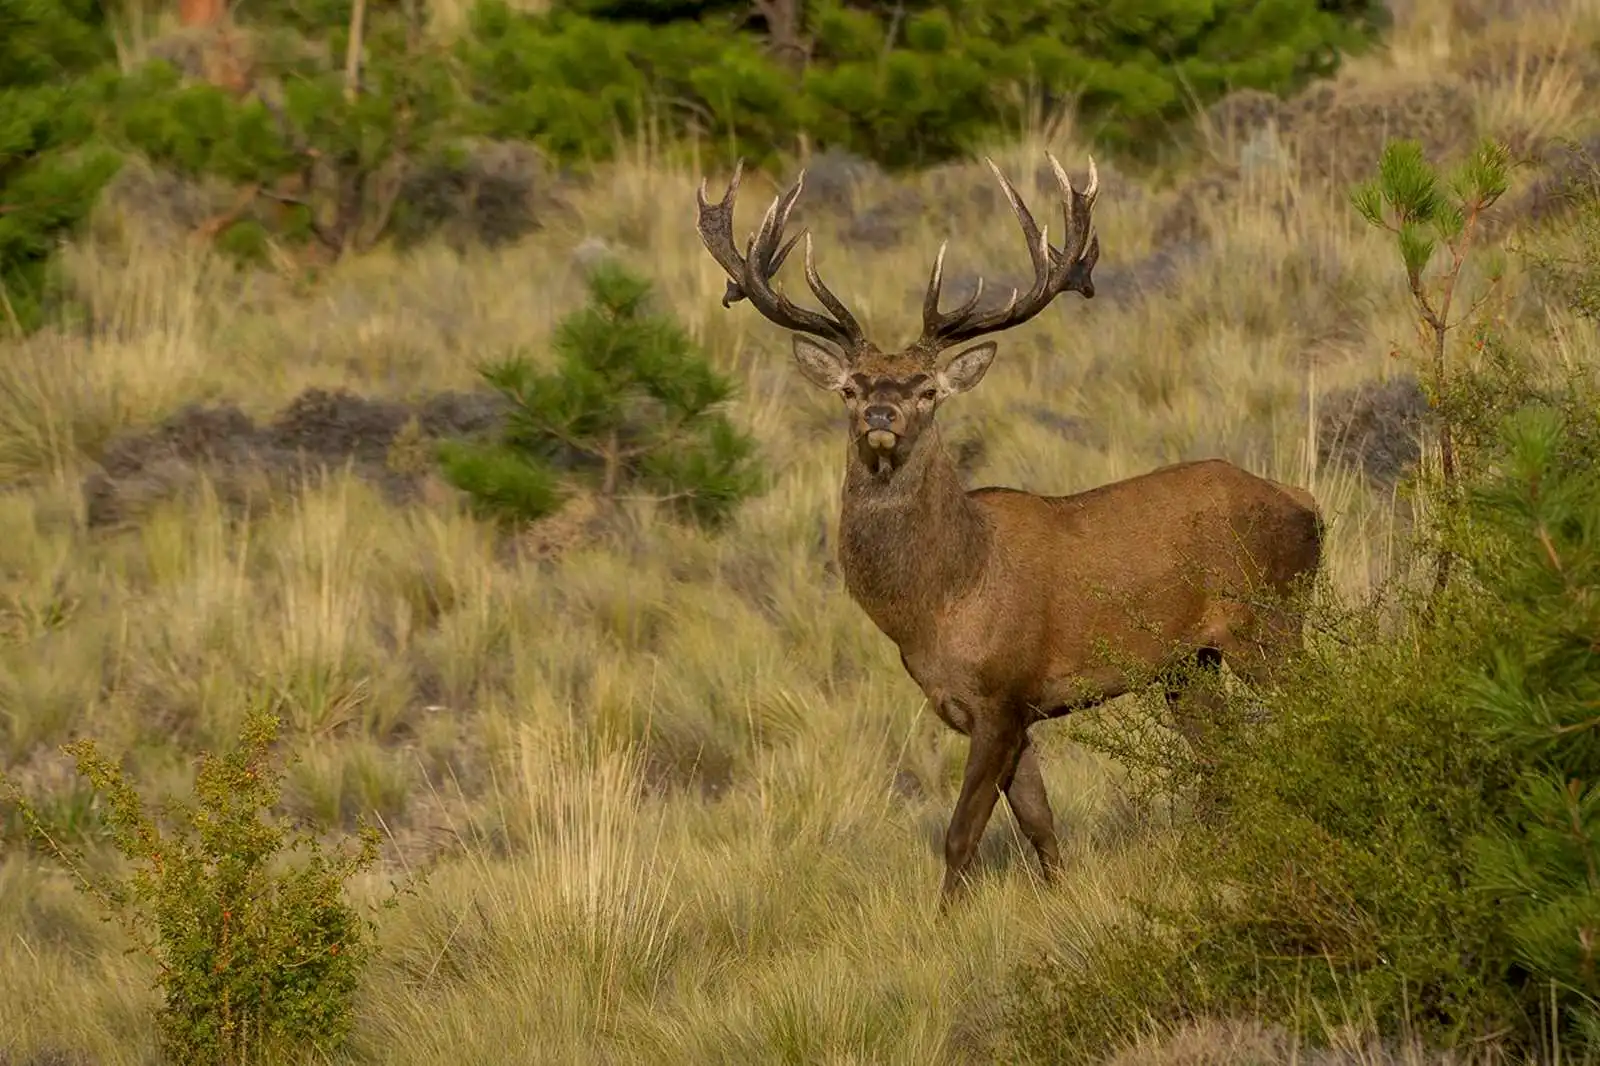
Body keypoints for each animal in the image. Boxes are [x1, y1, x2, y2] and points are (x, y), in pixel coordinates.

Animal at [694, 153, 1324, 908]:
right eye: (850, 386)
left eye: (928, 390)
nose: (880, 414)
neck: (944, 598)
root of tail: (1306, 505)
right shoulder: (999, 710)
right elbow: (1041, 827)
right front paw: (1060, 901)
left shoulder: (1003, 693)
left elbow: (962, 834)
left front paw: (944, 921)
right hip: (1188, 665)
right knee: (1223, 761)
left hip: (1271, 623)